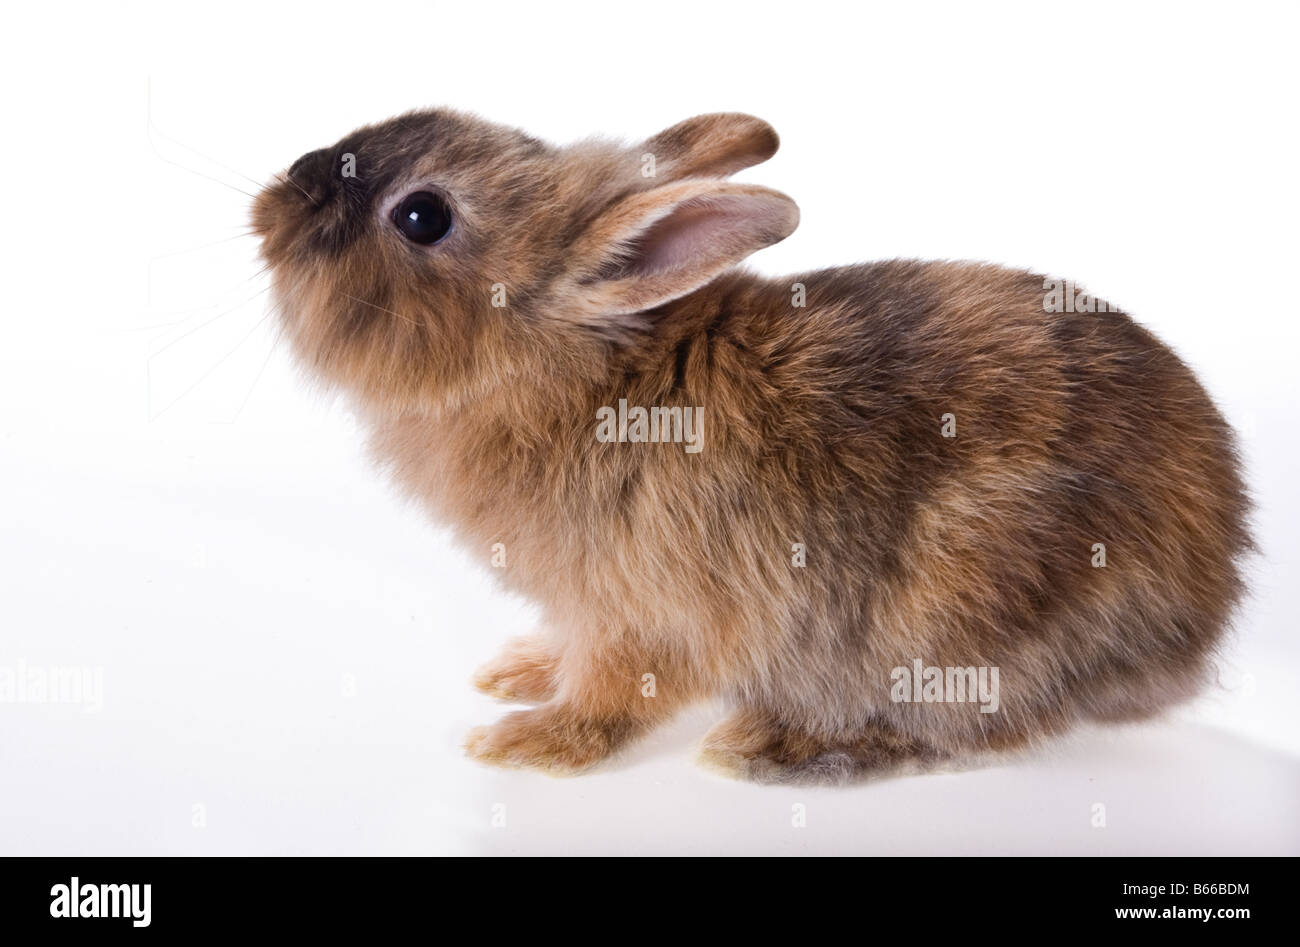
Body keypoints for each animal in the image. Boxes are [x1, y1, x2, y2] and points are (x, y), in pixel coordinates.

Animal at [252, 108, 1252, 785]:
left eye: (421, 217)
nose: (282, 189)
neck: (578, 372)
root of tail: (1197, 626)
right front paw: (518, 673)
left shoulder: (642, 614)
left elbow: (611, 693)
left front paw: (525, 743)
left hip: (964, 607)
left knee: (980, 728)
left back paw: (774, 746)